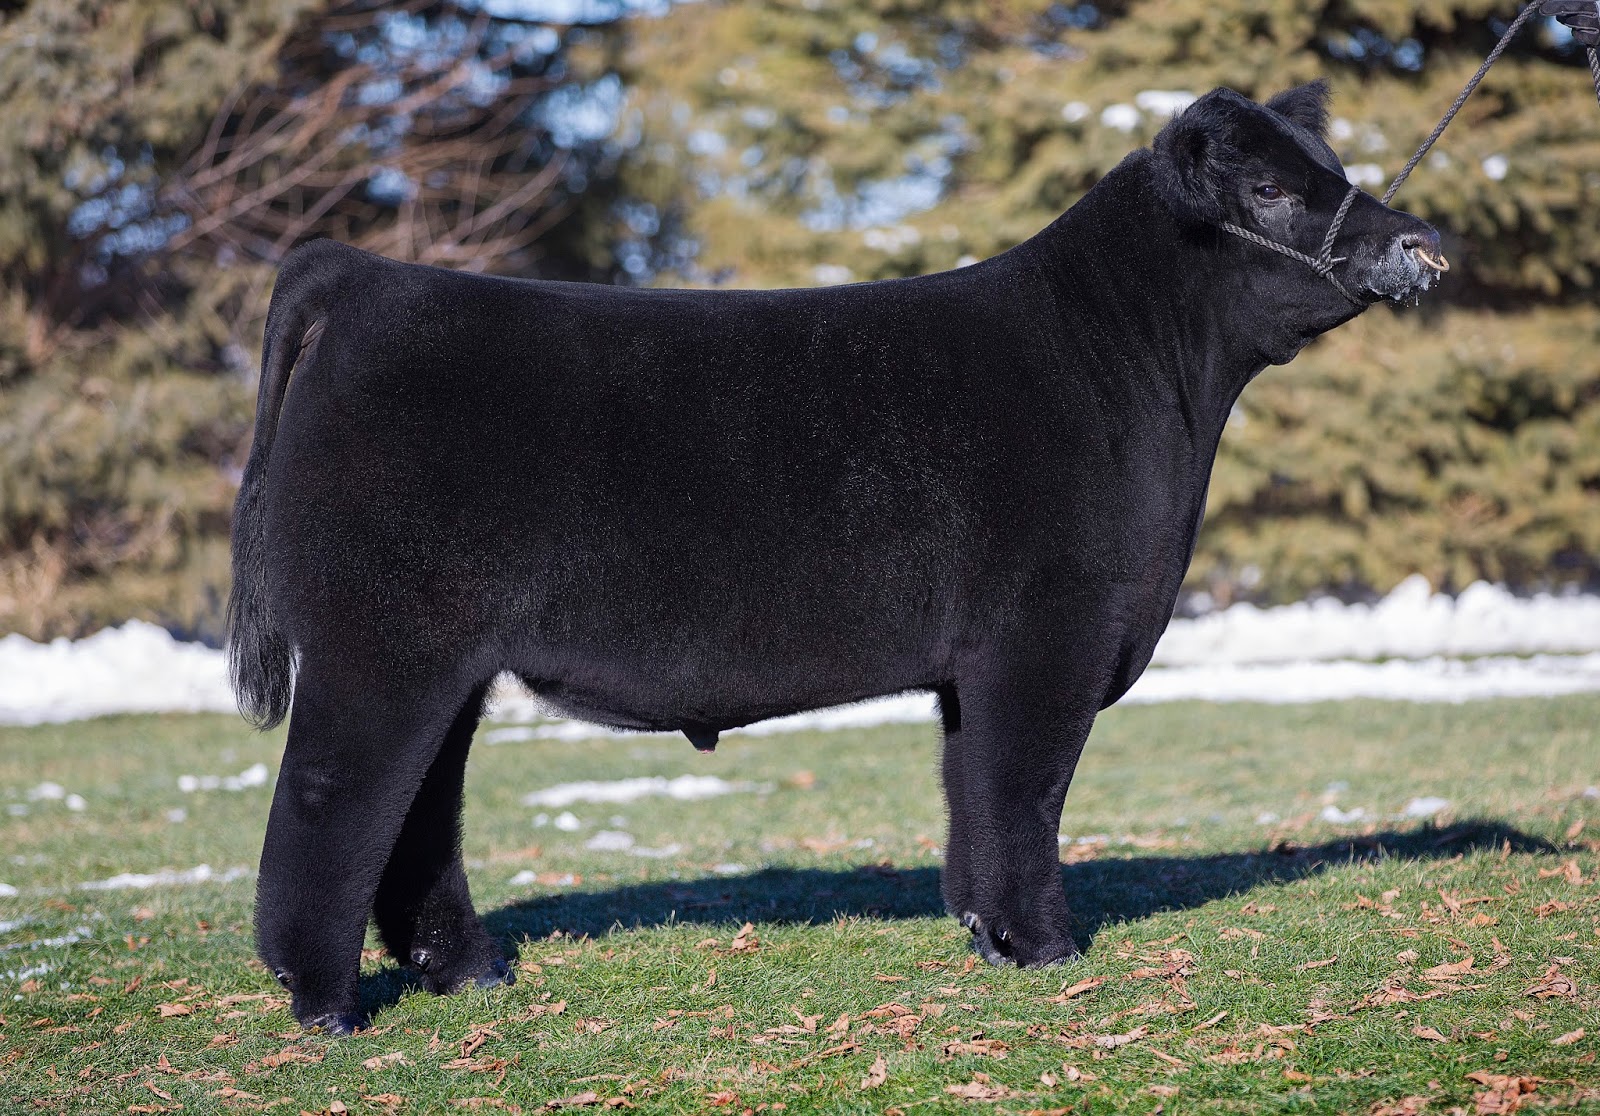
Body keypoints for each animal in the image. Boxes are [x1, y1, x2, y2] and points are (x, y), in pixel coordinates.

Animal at [228, 80, 1444, 1033]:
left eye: (1333, 169)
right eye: (1271, 193)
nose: (1413, 242)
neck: (1133, 374)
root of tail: (364, 277)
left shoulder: (975, 664)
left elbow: (970, 789)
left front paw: (990, 936)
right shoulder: (1048, 636)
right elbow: (1025, 789)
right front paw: (1049, 949)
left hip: (448, 662)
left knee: (420, 816)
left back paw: (469, 973)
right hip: (381, 645)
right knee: (332, 803)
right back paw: (325, 1004)